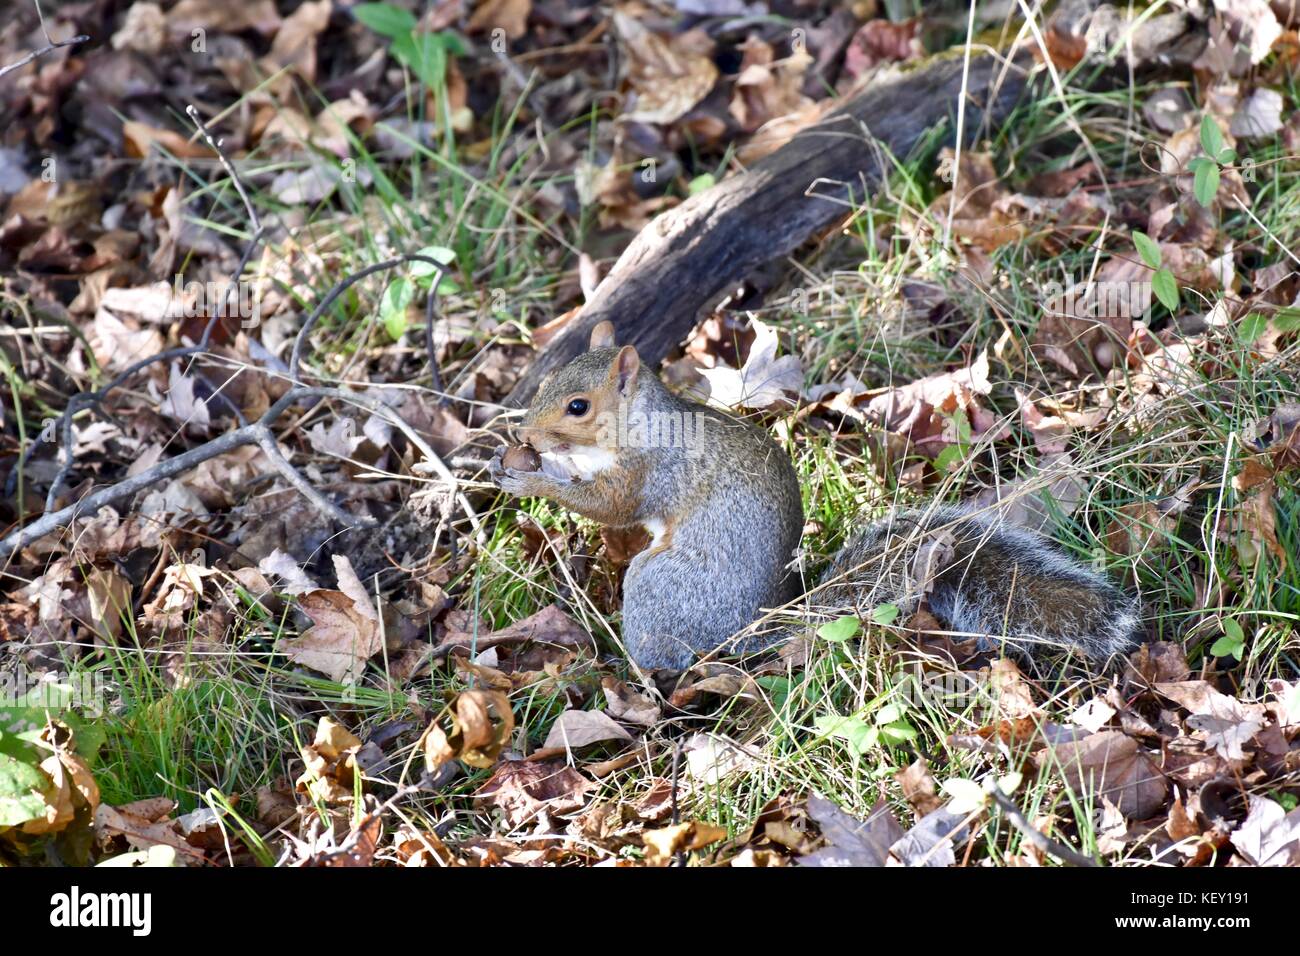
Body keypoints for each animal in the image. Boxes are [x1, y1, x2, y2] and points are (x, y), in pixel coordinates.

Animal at [490, 322, 1141, 672]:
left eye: (578, 406)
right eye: (546, 383)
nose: (526, 434)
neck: (640, 422)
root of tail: (748, 633)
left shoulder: (652, 470)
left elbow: (612, 505)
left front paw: (530, 478)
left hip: (659, 586)